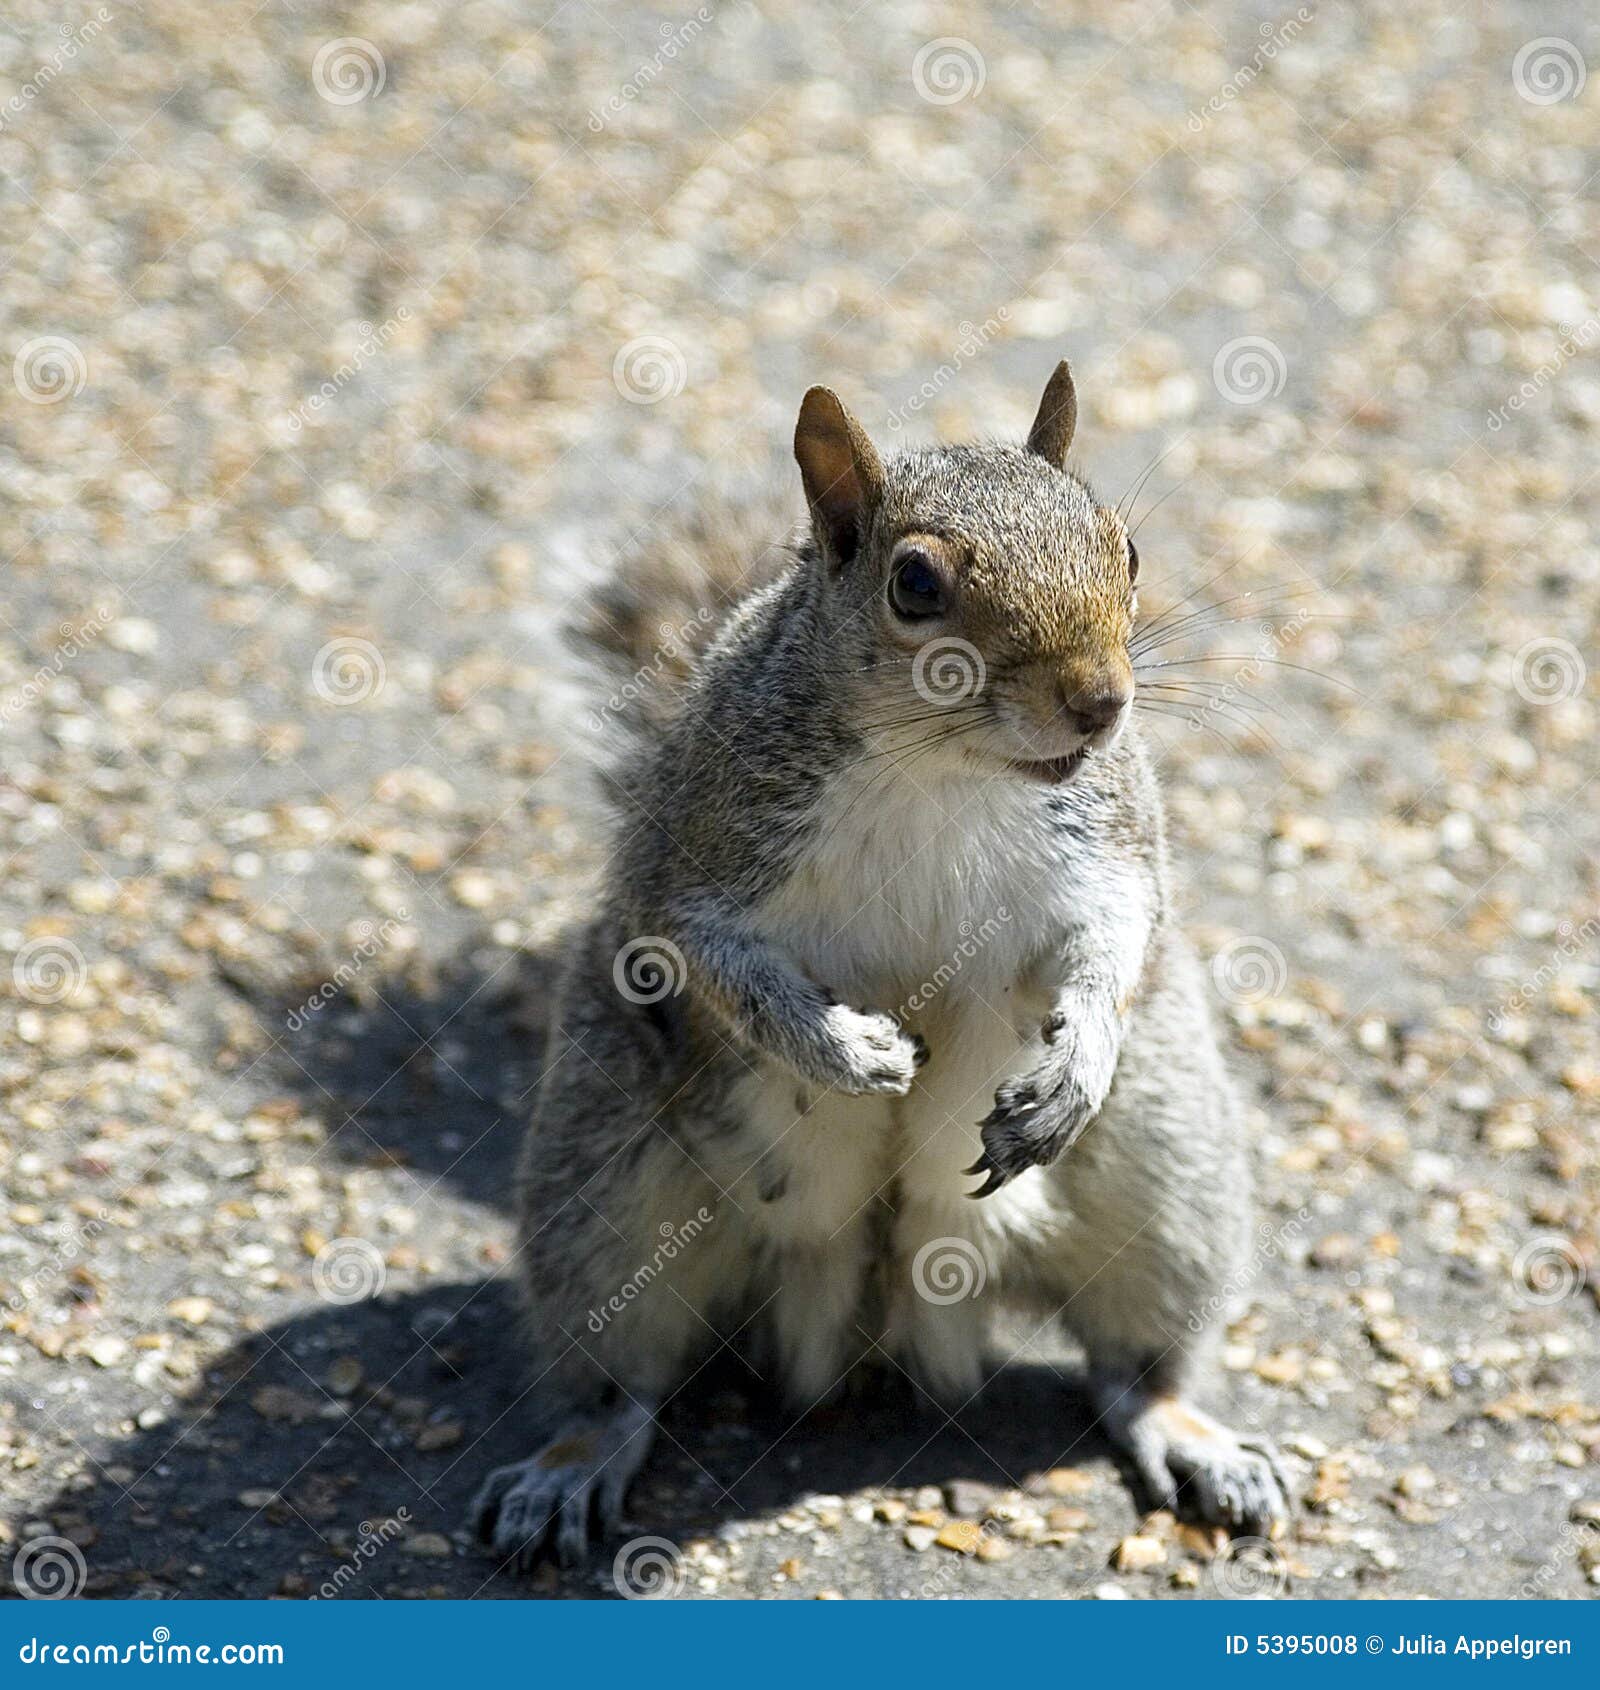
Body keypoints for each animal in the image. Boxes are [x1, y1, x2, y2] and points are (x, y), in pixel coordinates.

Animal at [473, 361, 1289, 1568]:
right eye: (914, 583)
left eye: (1127, 551)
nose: (1100, 702)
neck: (941, 766)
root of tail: (872, 1294)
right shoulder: (698, 860)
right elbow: (716, 963)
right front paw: (849, 1052)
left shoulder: (1110, 843)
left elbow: (1118, 937)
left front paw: (1073, 1067)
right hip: (604, 1184)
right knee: (621, 1379)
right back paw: (570, 1465)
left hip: (1165, 1172)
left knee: (1132, 1363)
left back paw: (1192, 1434)